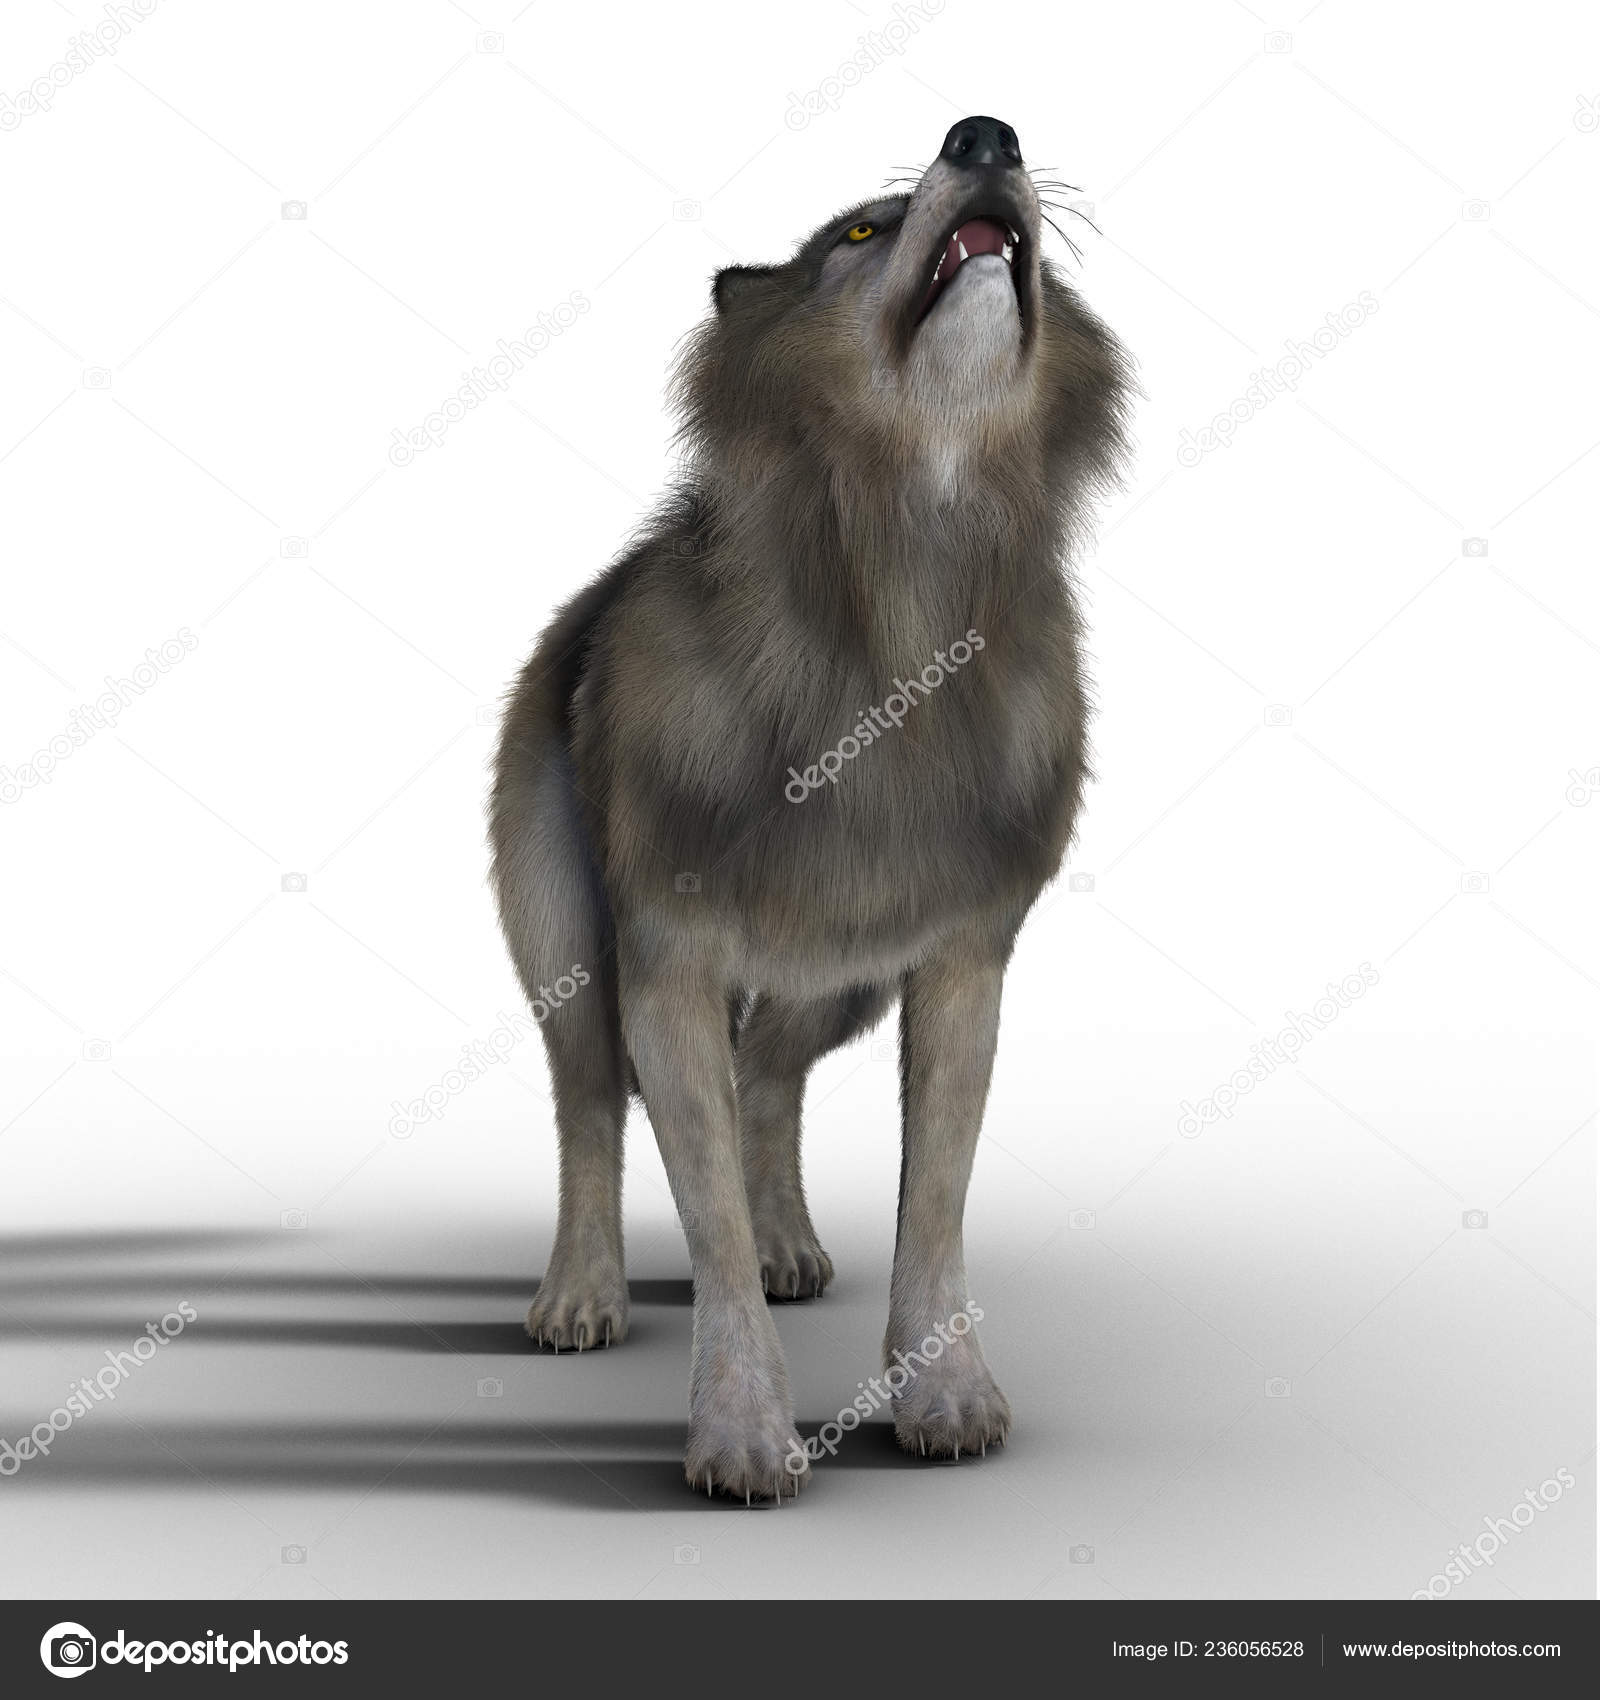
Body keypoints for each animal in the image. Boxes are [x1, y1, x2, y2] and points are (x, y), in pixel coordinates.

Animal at [492, 116, 1131, 1501]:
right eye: (859, 230)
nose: (984, 135)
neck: (904, 579)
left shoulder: (960, 958)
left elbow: (930, 1204)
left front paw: (945, 1397)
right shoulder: (665, 962)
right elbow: (706, 1222)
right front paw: (742, 1436)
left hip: (842, 986)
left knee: (766, 1079)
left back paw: (793, 1243)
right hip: (568, 958)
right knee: (588, 1114)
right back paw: (579, 1297)